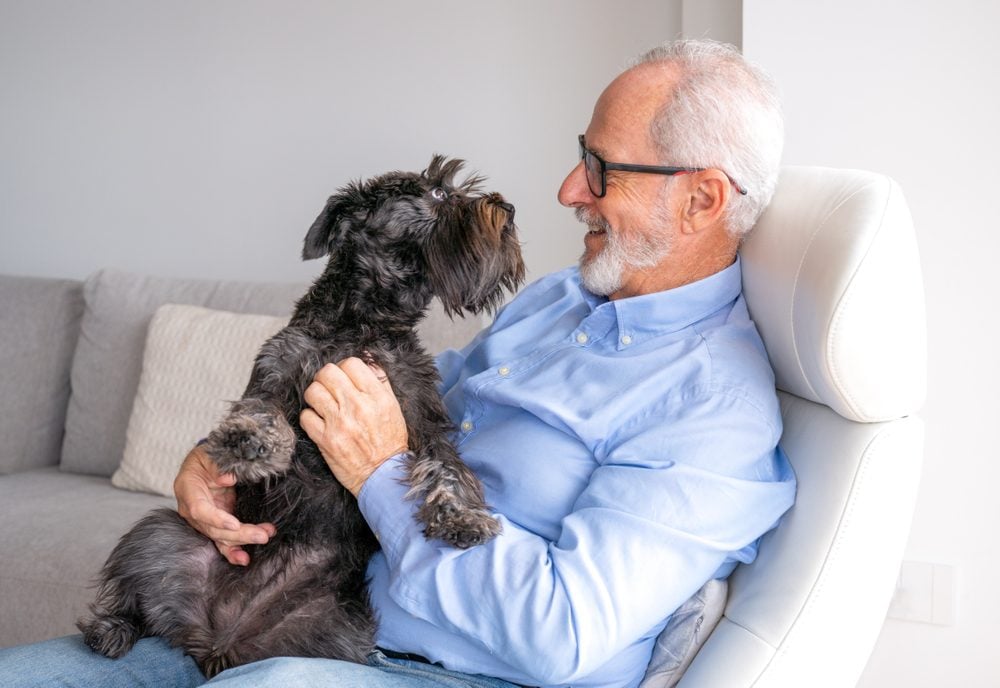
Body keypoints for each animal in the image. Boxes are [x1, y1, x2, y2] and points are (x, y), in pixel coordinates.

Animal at [78, 156, 528, 676]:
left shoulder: (421, 418)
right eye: (436, 193)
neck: (364, 324)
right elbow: (263, 407)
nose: (509, 211)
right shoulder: (278, 368)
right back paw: (110, 627)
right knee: (134, 598)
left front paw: (464, 519)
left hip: (338, 629)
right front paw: (249, 441)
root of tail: (216, 642)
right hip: (161, 534)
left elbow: (448, 469)